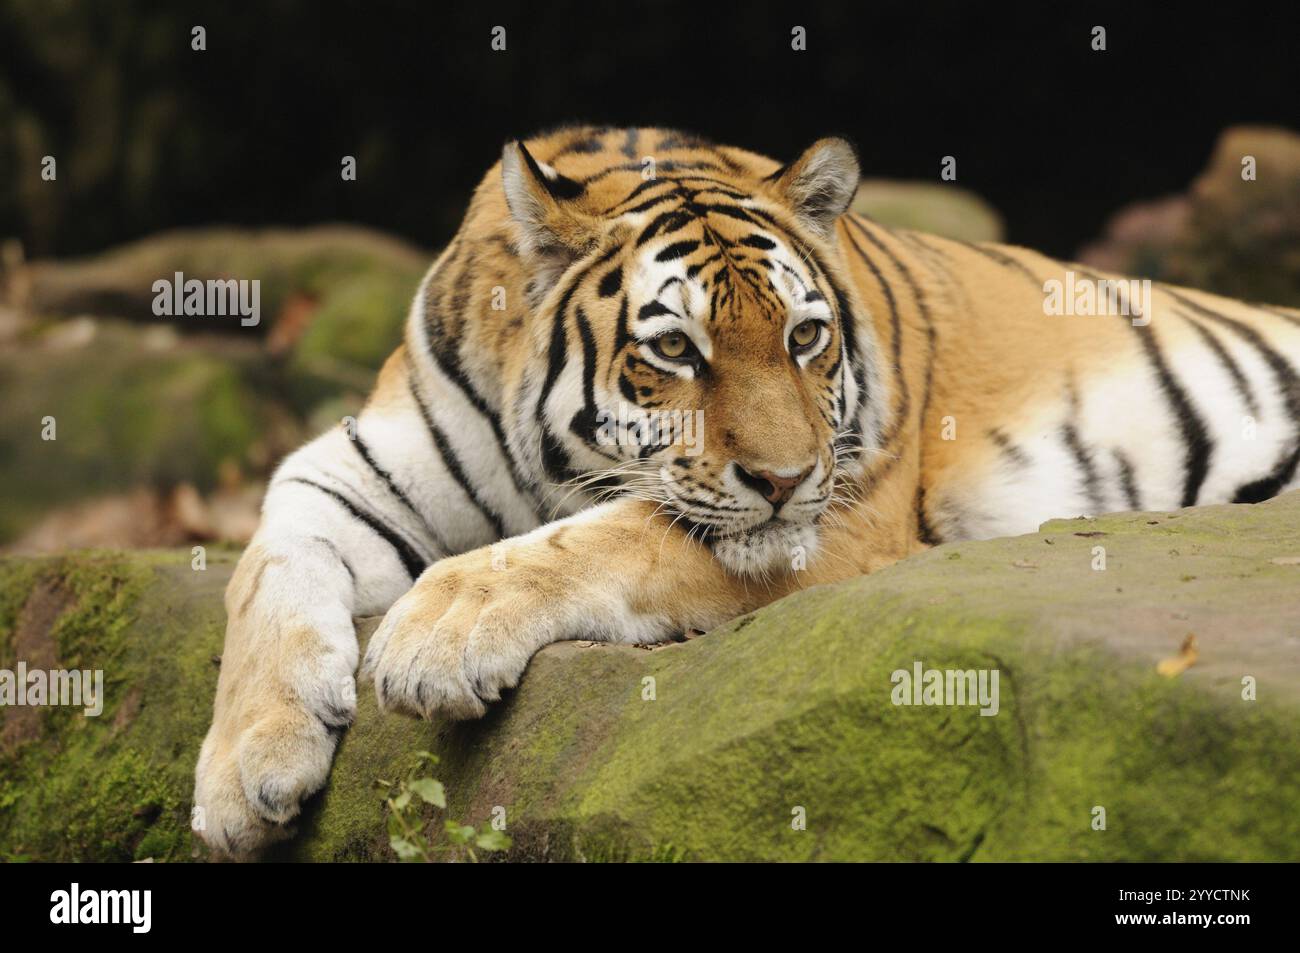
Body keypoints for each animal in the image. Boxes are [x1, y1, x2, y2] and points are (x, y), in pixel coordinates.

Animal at [193, 125, 1300, 855]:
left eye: (805, 336)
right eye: (674, 350)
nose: (786, 476)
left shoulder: (848, 509)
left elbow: (610, 537)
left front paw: (435, 637)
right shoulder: (347, 465)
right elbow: (261, 570)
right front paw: (246, 772)